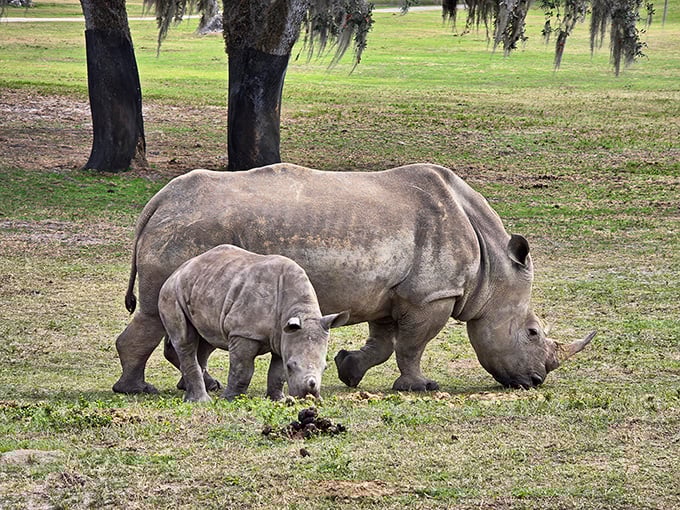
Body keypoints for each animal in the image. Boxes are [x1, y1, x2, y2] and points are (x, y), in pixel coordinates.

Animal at [158, 244, 349, 401]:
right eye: (291, 366)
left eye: (325, 367)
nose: (309, 395)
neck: (299, 309)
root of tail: (179, 269)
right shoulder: (244, 333)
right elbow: (243, 369)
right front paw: (229, 399)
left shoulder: (282, 335)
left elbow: (277, 373)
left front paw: (278, 400)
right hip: (171, 292)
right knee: (185, 340)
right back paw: (201, 401)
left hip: (203, 285)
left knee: (205, 339)